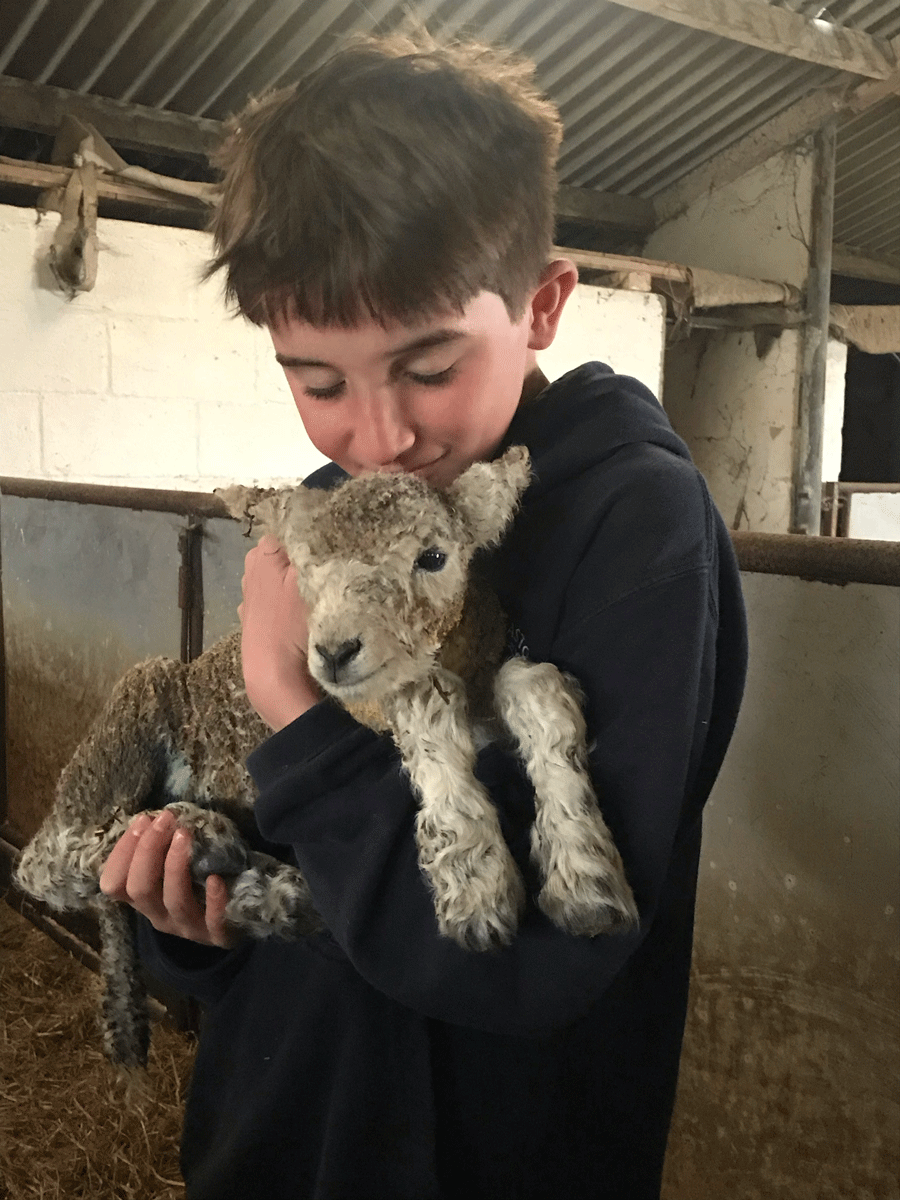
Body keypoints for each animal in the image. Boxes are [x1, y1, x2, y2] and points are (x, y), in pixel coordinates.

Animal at [14, 444, 638, 1072]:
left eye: (433, 557)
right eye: (305, 567)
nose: (335, 652)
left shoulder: (491, 672)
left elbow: (537, 685)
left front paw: (584, 875)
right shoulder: (382, 702)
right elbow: (424, 703)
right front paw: (475, 882)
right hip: (135, 708)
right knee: (48, 858)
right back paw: (232, 859)